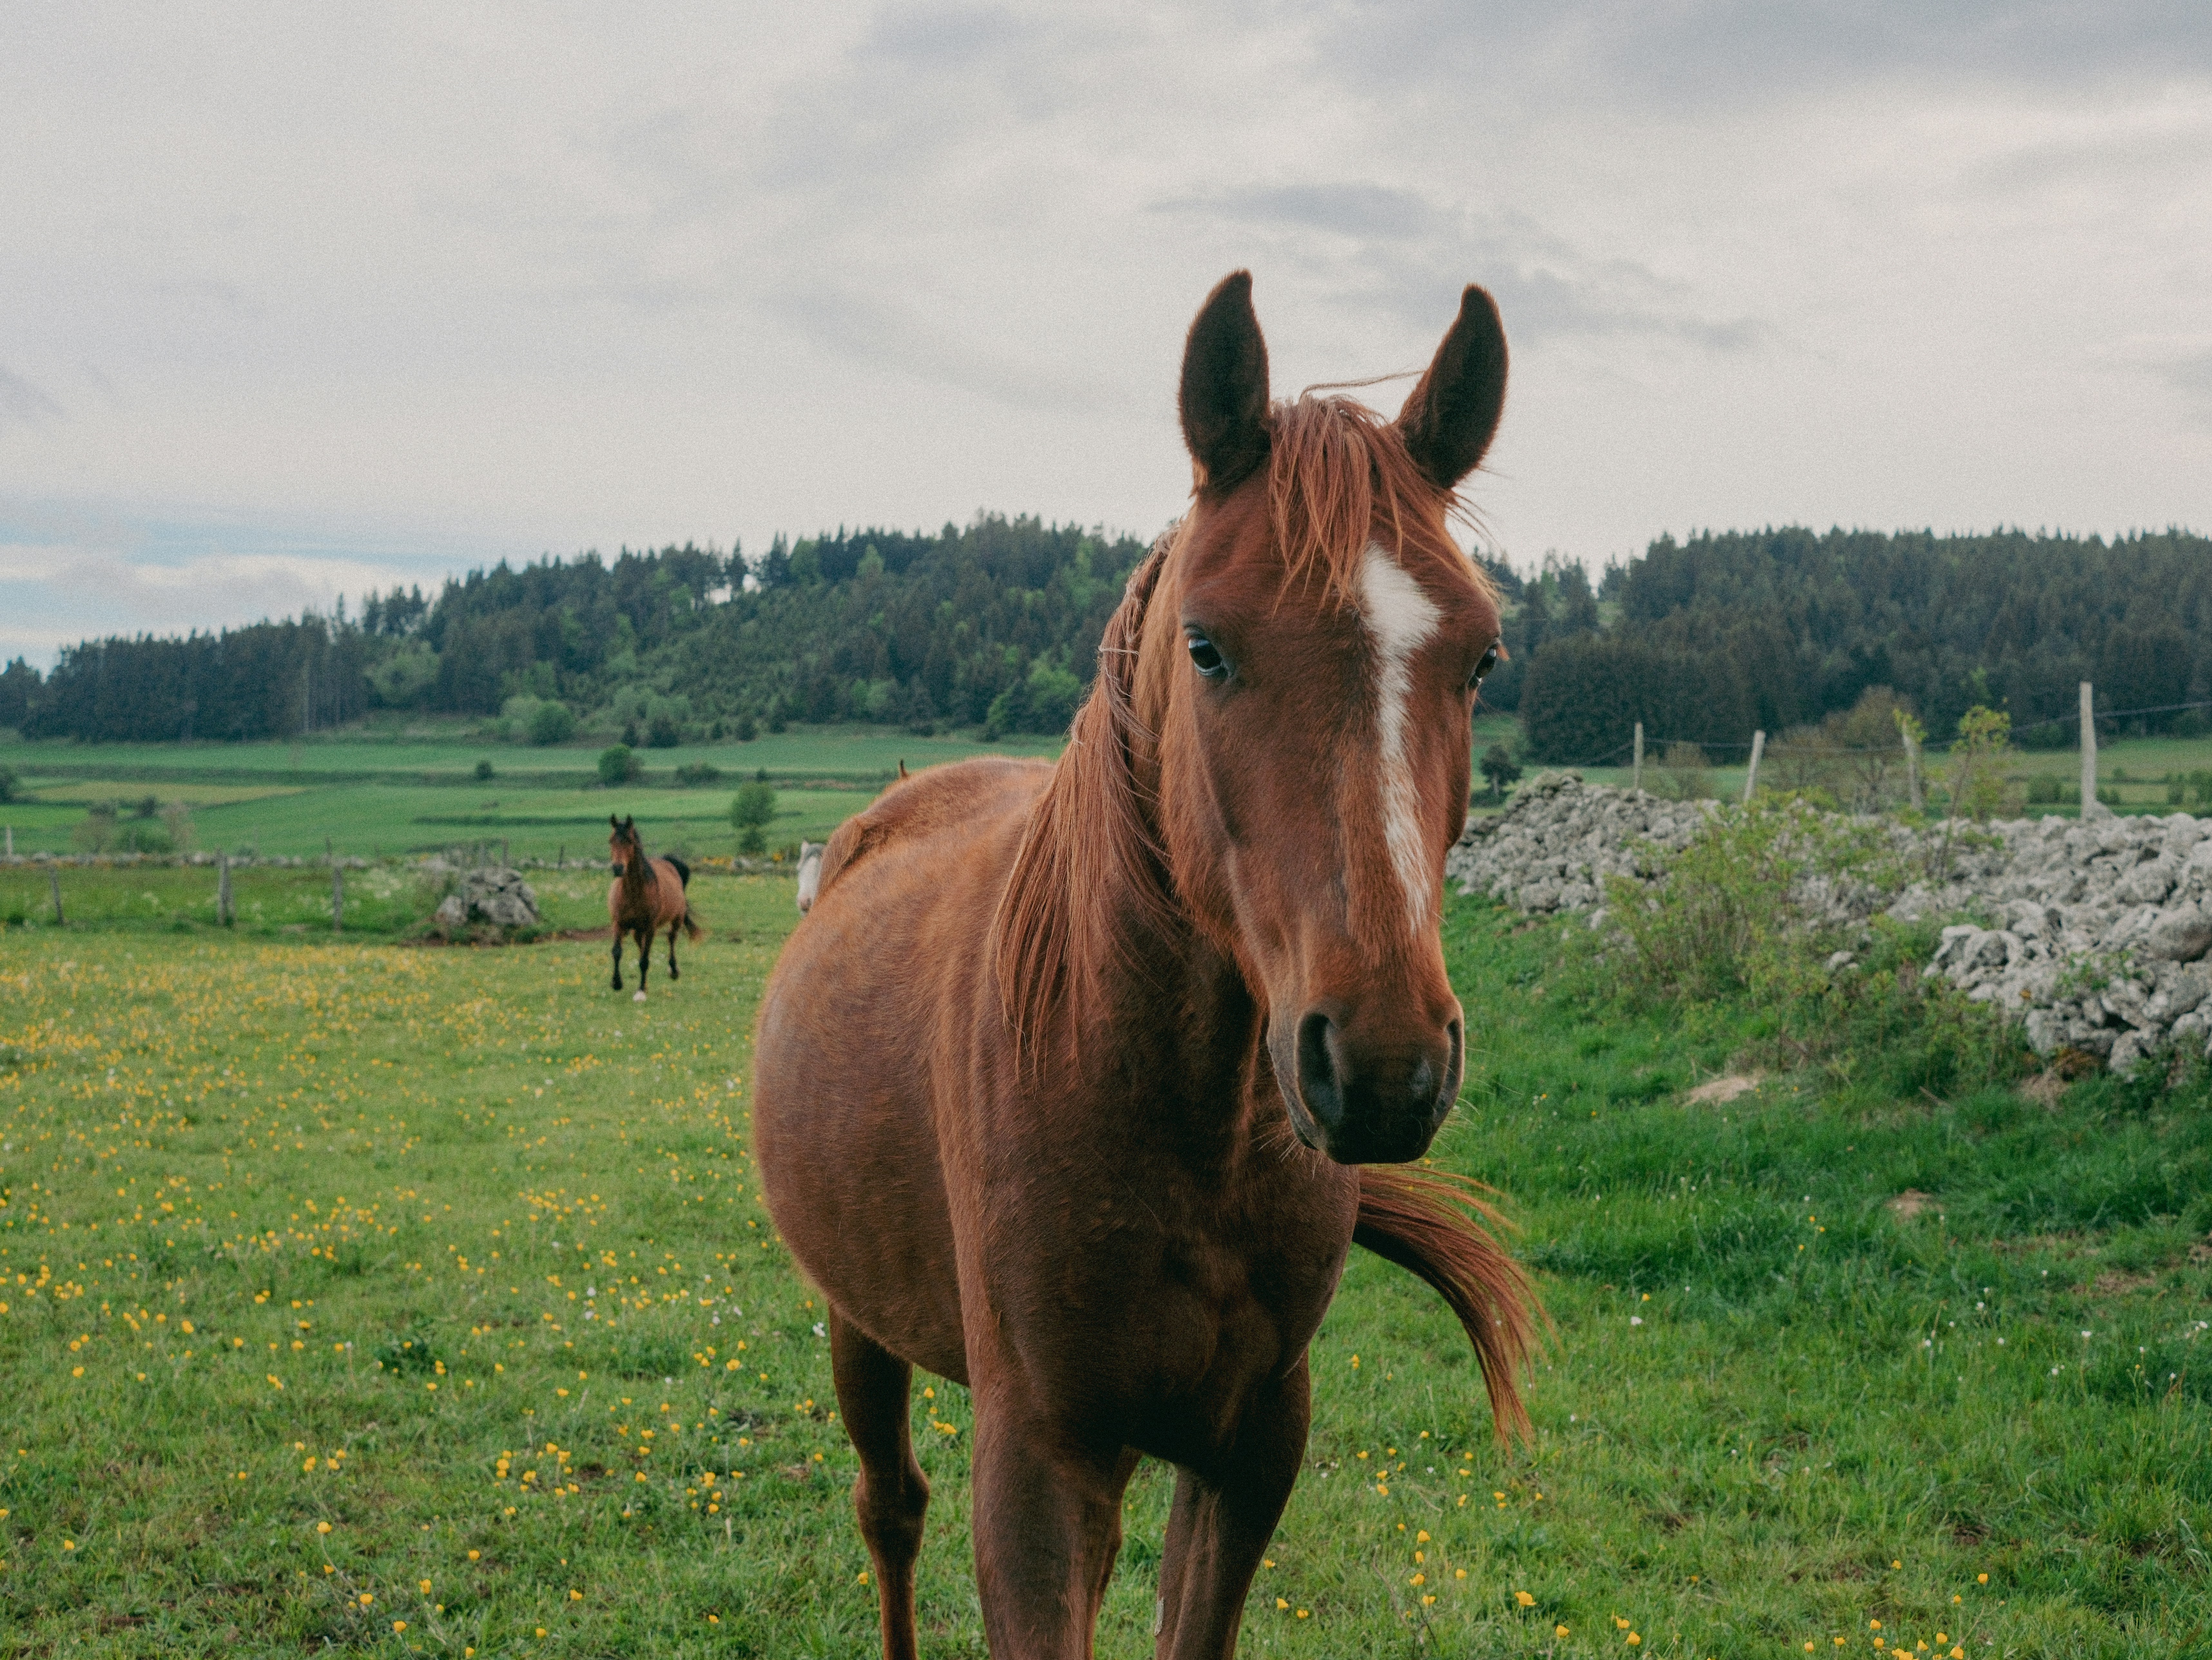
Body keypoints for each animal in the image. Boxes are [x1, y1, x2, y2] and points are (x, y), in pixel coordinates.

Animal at [606, 815, 699, 1000]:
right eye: (611, 841)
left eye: (630, 841)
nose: (618, 868)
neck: (633, 893)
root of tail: (669, 863)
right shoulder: (619, 924)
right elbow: (617, 952)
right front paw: (617, 983)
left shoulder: (651, 928)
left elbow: (645, 960)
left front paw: (641, 991)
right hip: (637, 930)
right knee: (641, 945)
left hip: (676, 920)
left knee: (671, 938)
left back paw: (673, 970)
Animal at [753, 270, 1538, 1660]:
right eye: (1208, 646)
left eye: (1481, 658)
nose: (1382, 1065)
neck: (1183, 1127)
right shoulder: (1038, 1465)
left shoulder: (1252, 1443)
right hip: (857, 1320)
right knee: (887, 1509)